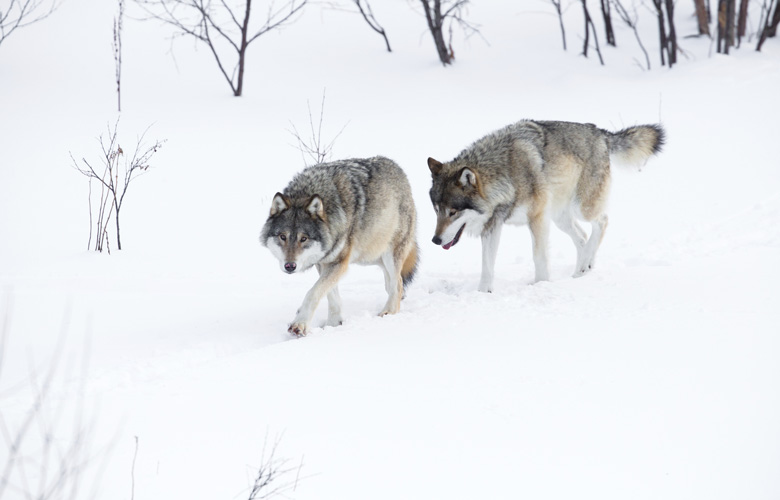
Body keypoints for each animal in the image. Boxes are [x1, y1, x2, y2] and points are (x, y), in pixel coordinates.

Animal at [261, 156, 419, 336]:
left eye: (304, 238)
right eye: (283, 237)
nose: (290, 266)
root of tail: (398, 168)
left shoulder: (339, 263)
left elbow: (313, 292)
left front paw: (300, 324)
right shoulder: (324, 262)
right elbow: (331, 294)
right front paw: (334, 324)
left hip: (389, 255)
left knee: (397, 282)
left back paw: (389, 312)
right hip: (372, 257)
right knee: (392, 283)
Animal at [428, 120, 665, 292]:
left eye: (453, 212)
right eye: (437, 210)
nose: (435, 240)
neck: (507, 174)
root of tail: (600, 133)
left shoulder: (538, 217)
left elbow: (539, 256)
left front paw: (541, 284)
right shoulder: (493, 225)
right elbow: (487, 265)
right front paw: (483, 293)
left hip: (581, 208)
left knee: (602, 221)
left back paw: (584, 265)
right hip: (560, 218)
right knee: (583, 236)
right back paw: (582, 270)